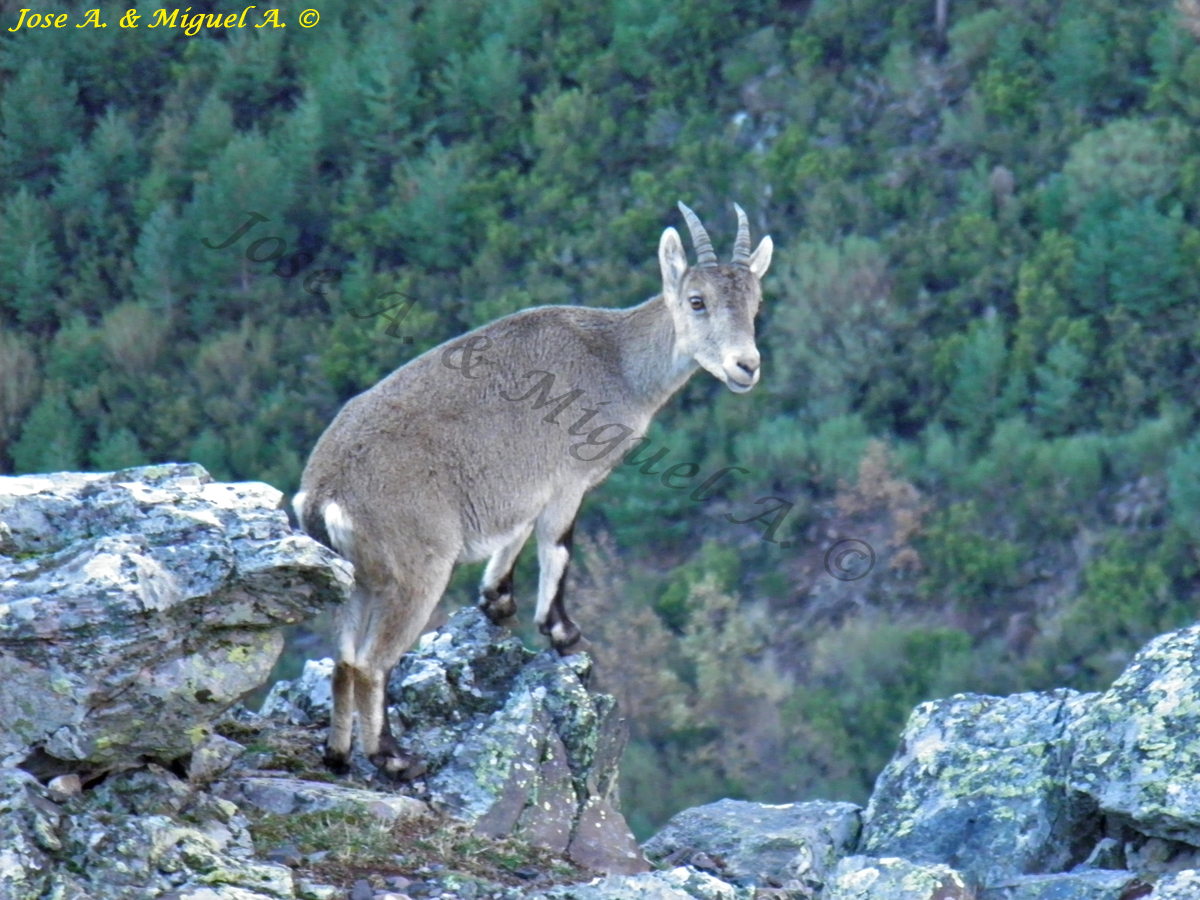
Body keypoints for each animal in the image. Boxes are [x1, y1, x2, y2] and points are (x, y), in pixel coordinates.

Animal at [294, 202, 773, 776]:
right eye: (697, 301)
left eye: (756, 303)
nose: (746, 366)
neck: (616, 362)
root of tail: (324, 495)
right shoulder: (568, 480)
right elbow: (558, 546)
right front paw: (562, 631)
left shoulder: (525, 488)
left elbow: (515, 537)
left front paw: (498, 603)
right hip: (415, 569)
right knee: (371, 664)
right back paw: (391, 756)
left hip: (357, 579)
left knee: (343, 661)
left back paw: (338, 754)